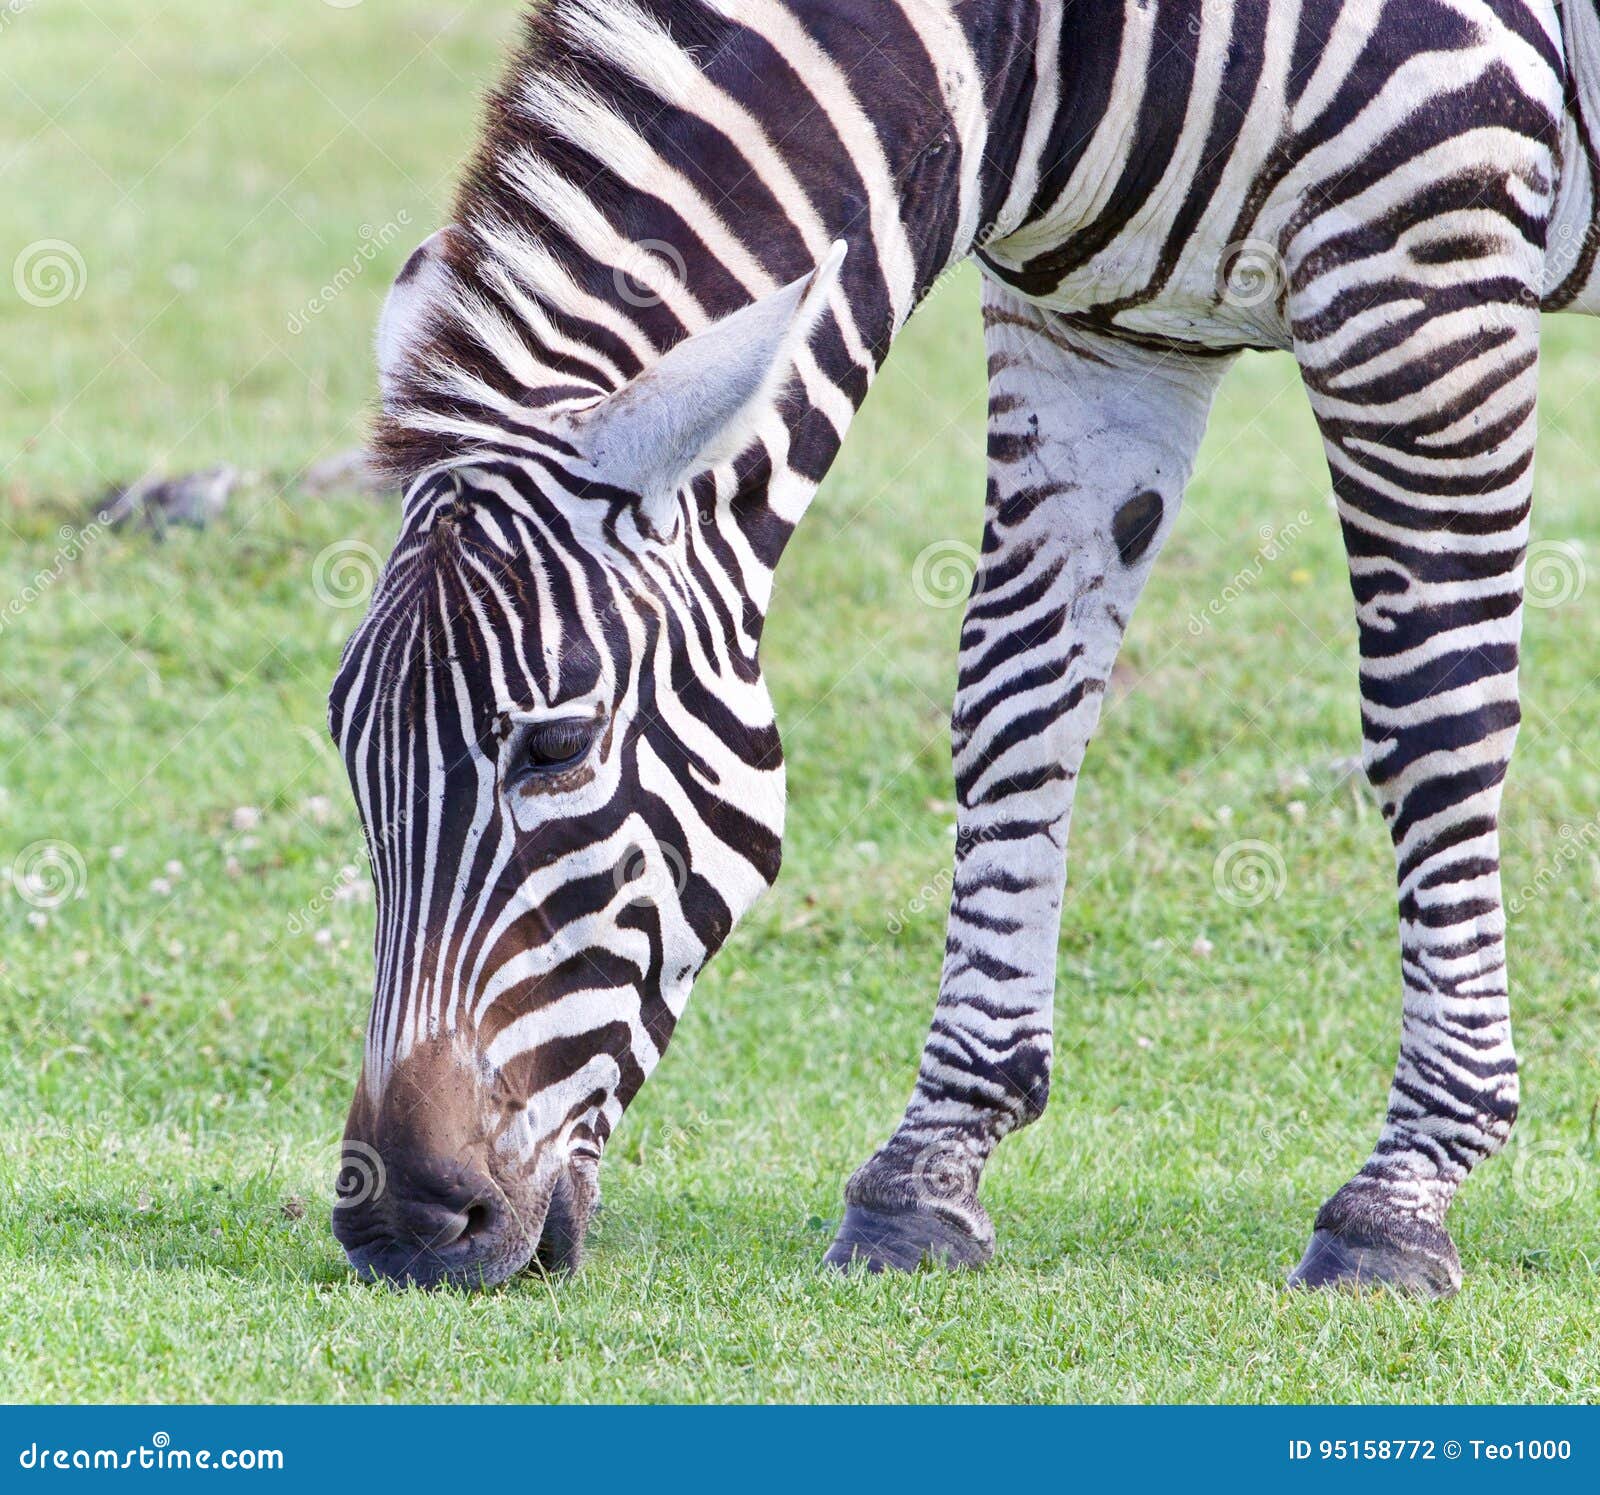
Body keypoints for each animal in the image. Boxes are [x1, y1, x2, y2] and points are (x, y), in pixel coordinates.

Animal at [329, 0, 1600, 1295]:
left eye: (557, 747)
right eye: (347, 746)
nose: (399, 1225)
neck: (1044, 56)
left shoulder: (1424, 262)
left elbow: (1434, 720)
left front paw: (1403, 1192)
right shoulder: (1096, 330)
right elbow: (1016, 701)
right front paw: (928, 1171)